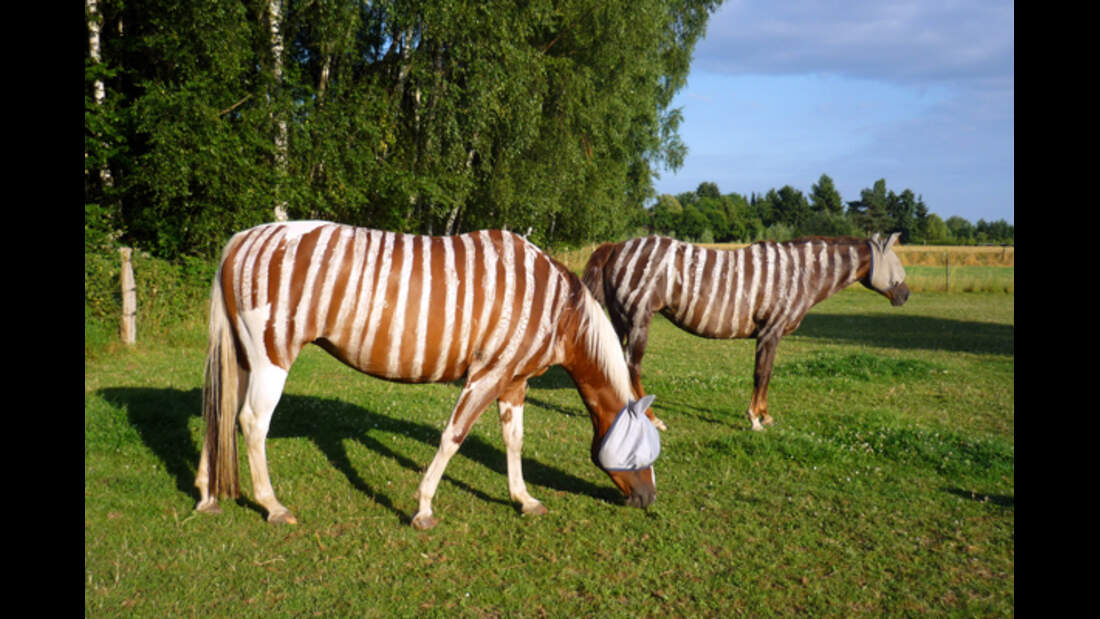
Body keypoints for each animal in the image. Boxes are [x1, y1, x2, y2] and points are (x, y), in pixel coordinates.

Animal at [195, 221, 660, 529]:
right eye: (643, 448)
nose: (649, 499)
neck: (556, 311)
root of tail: (240, 240)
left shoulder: (514, 381)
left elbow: (513, 440)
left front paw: (524, 499)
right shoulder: (487, 375)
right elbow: (452, 437)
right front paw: (423, 508)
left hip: (243, 360)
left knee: (220, 413)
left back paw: (207, 495)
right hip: (271, 360)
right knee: (252, 423)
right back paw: (272, 506)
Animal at [582, 233, 909, 431]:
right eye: (897, 266)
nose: (905, 295)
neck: (801, 275)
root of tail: (617, 247)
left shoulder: (771, 334)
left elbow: (767, 373)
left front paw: (765, 414)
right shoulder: (770, 331)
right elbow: (761, 373)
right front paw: (755, 419)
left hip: (621, 318)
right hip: (639, 318)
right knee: (632, 365)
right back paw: (653, 419)